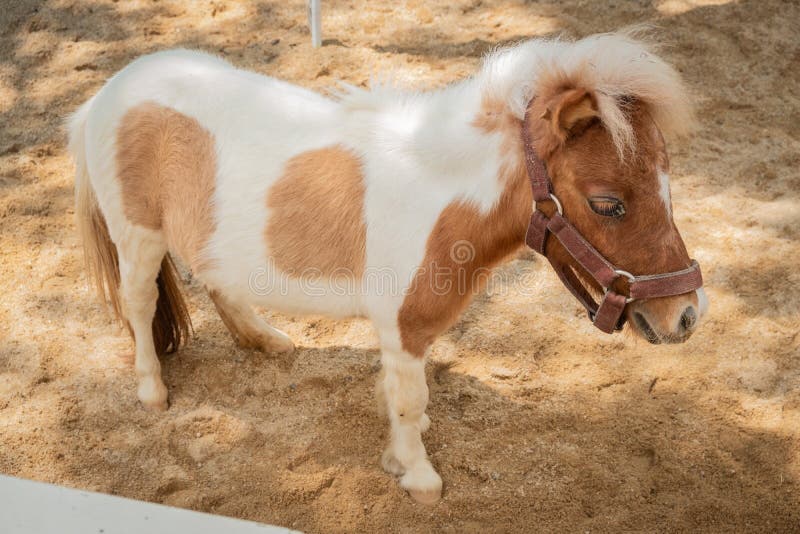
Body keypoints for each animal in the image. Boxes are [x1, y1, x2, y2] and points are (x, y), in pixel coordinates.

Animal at [68, 31, 708, 504]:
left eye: (668, 181)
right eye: (608, 204)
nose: (686, 316)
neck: (436, 195)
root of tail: (108, 94)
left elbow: (403, 398)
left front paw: (404, 451)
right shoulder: (404, 330)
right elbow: (410, 399)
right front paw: (419, 478)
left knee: (216, 279)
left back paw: (266, 340)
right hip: (138, 238)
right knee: (140, 303)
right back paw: (152, 391)